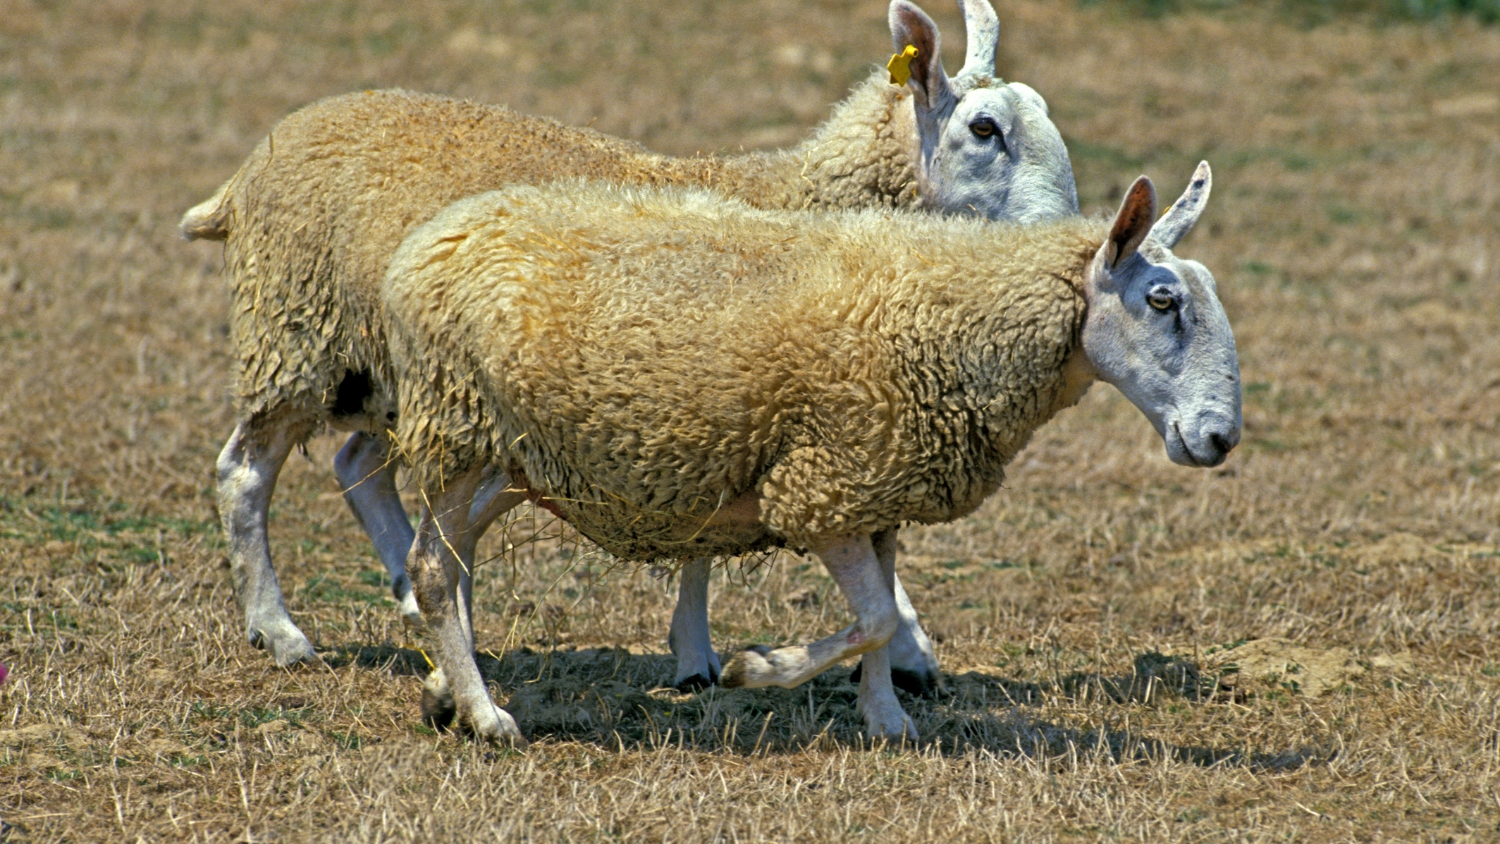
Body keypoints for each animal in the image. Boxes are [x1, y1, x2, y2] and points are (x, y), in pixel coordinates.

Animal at [180, 0, 1081, 689]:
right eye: (986, 129)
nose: (1074, 240)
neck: (790, 194)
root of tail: (257, 163)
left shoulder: (719, 397)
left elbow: (705, 541)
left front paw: (702, 651)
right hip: (300, 339)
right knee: (244, 474)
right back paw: (280, 631)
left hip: (399, 380)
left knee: (358, 466)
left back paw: (416, 597)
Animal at [379, 161, 1239, 743]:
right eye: (1163, 300)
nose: (1220, 437)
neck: (963, 324)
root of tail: (423, 244)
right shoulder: (825, 484)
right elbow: (876, 618)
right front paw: (757, 668)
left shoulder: (881, 487)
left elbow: (884, 615)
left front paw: (886, 718)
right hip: (459, 425)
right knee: (431, 567)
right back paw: (485, 713)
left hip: (513, 453)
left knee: (453, 558)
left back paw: (447, 689)